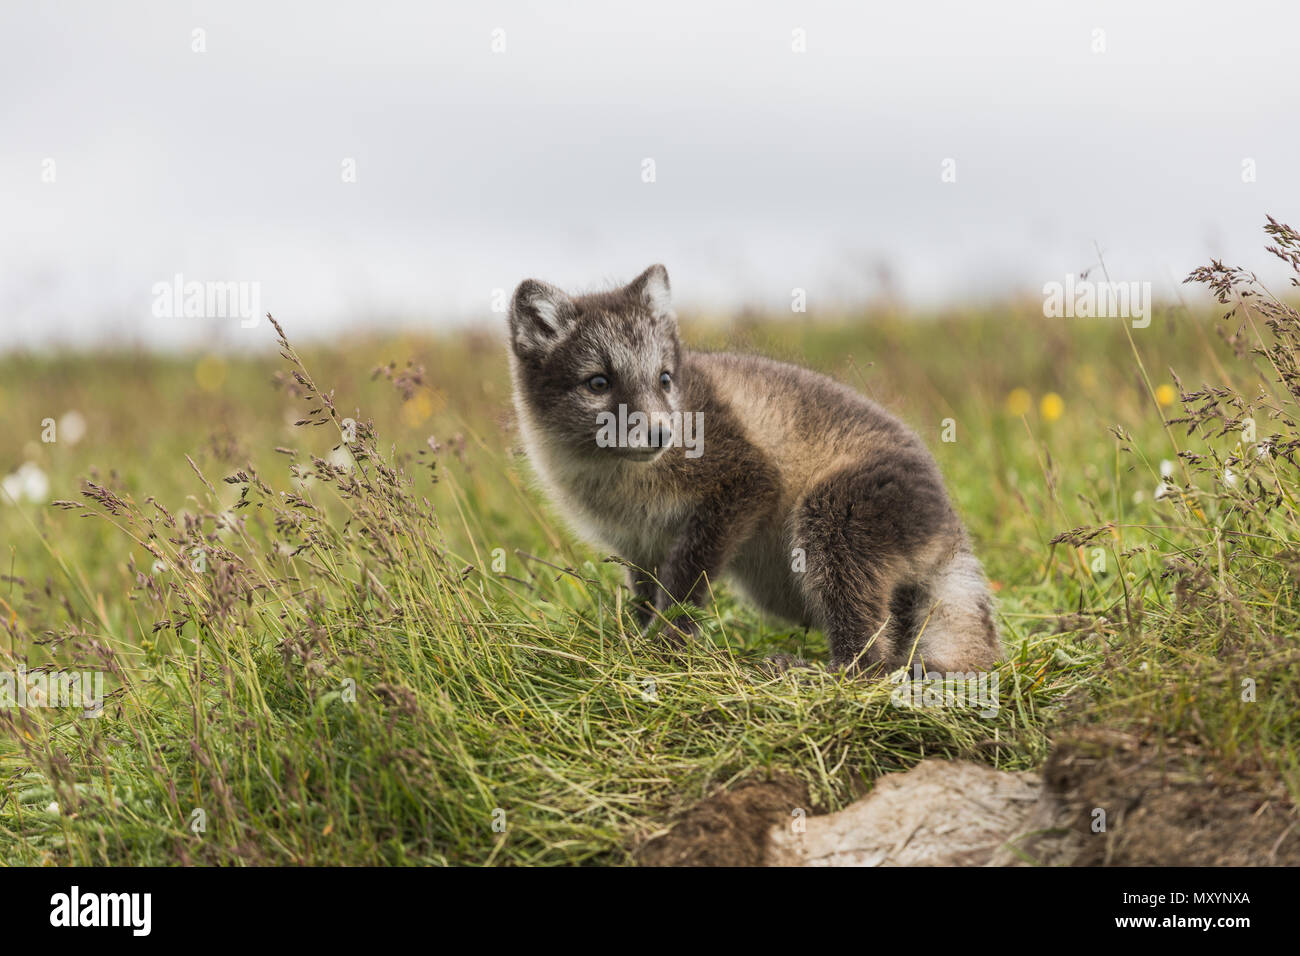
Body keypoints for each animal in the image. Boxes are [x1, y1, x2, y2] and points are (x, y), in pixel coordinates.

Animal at [506, 264, 1001, 674]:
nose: (662, 436)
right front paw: (638, 638)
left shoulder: (746, 479)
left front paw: (666, 644)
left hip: (831, 519)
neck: (616, 477)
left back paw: (812, 673)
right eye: (598, 383)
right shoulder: (636, 544)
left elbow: (685, 579)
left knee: (870, 661)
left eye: (664, 379)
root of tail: (950, 524)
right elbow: (646, 593)